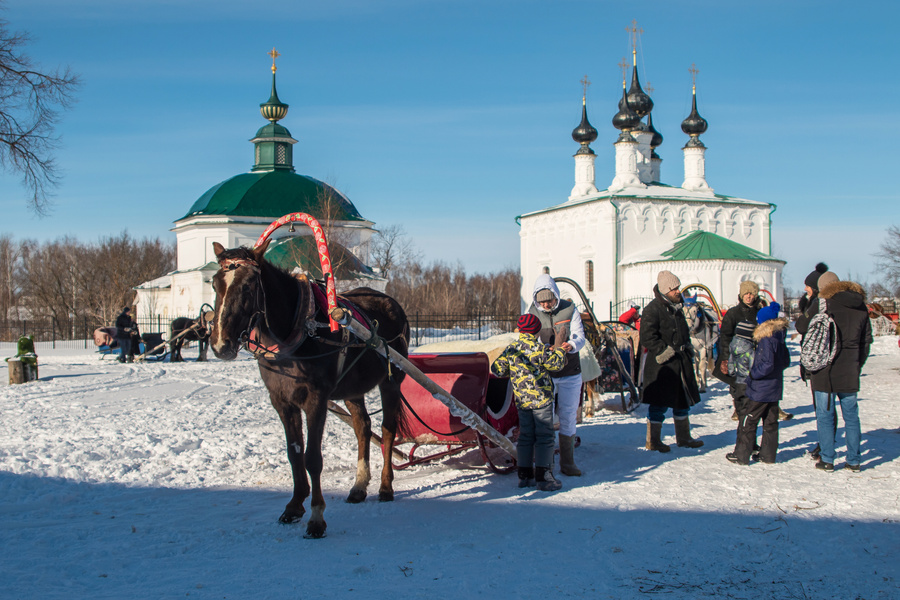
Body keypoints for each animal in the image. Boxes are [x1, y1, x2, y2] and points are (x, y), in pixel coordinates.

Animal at [207, 240, 408, 540]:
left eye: (248, 286)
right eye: (214, 283)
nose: (221, 344)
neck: (298, 328)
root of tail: (393, 304)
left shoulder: (316, 400)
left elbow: (313, 457)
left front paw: (316, 517)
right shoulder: (282, 402)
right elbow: (295, 454)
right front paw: (294, 505)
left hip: (391, 382)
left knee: (387, 431)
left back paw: (385, 487)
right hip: (352, 390)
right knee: (363, 427)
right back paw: (359, 486)